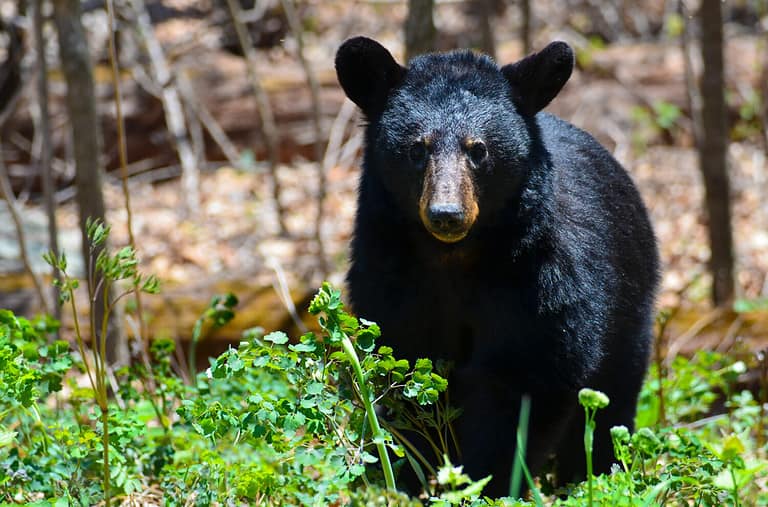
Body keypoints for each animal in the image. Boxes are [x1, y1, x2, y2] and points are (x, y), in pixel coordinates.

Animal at [335, 37, 659, 498]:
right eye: (417, 148)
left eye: (479, 149)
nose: (446, 214)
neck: (454, 260)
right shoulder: (388, 275)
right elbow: (404, 368)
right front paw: (411, 475)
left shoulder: (541, 281)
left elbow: (524, 381)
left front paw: (485, 481)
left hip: (630, 304)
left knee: (611, 396)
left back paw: (593, 472)